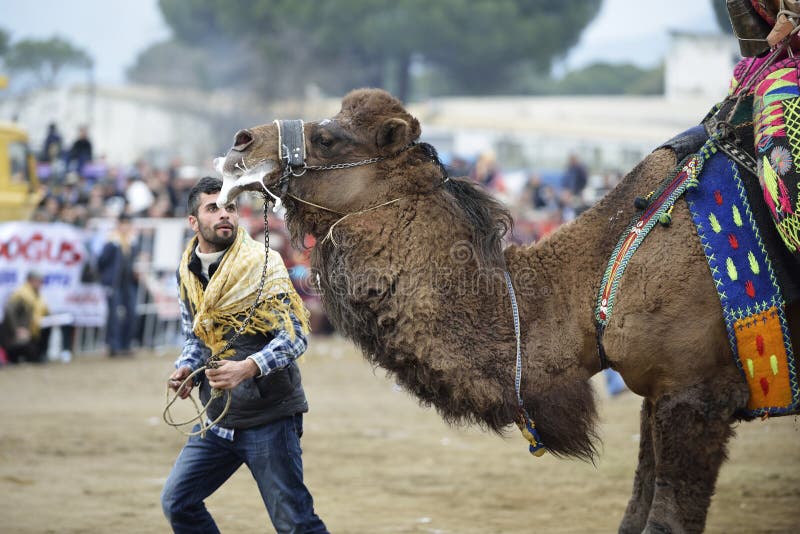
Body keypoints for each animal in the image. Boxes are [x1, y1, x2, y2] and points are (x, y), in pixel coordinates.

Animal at [214, 88, 799, 533]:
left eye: (329, 138)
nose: (240, 142)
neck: (594, 279)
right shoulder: (658, 395)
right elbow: (635, 515)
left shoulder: (695, 394)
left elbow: (665, 522)